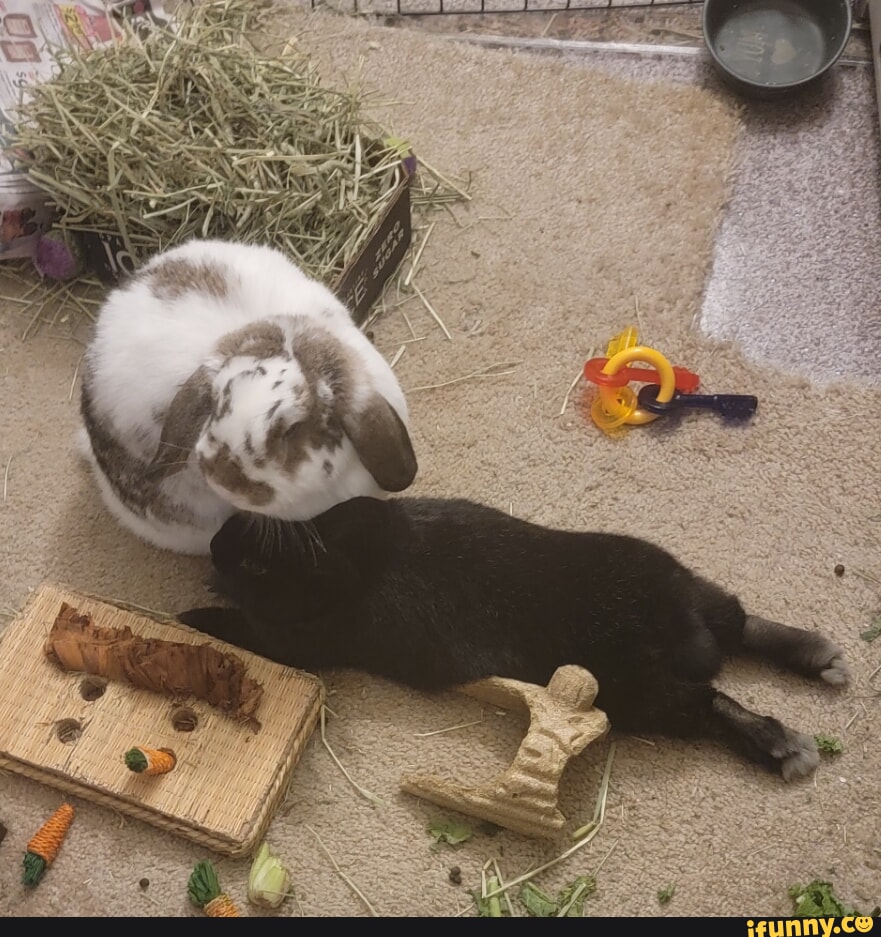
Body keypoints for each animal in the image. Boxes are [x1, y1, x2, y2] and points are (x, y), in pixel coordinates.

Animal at [177, 495, 851, 782]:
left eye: (259, 565)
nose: (214, 545)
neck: (361, 556)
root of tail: (682, 630)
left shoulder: (301, 640)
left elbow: (246, 630)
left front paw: (191, 614)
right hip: (680, 585)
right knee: (738, 622)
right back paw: (823, 658)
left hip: (638, 692)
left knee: (710, 700)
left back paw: (784, 749)